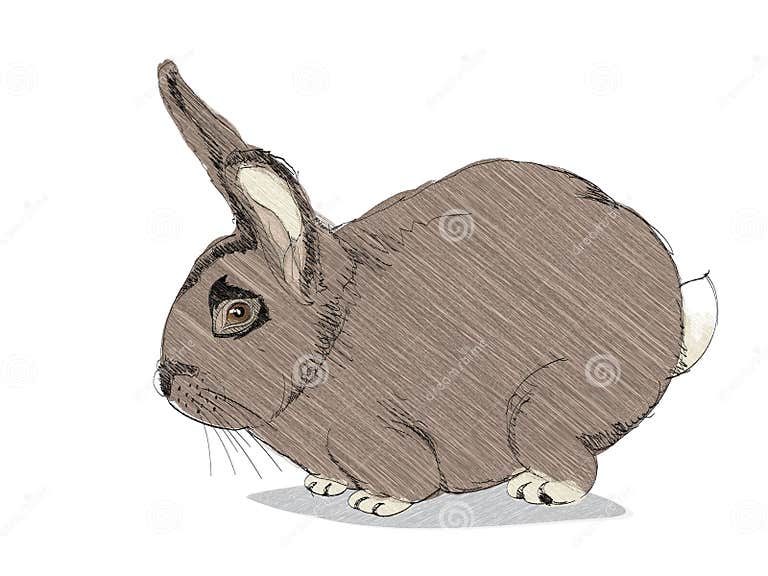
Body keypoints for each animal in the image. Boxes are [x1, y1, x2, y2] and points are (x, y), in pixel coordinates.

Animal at [155, 60, 717, 517]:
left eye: (237, 312)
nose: (164, 381)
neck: (328, 344)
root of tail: (672, 336)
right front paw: (327, 485)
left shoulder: (382, 432)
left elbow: (411, 480)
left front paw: (375, 501)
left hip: (547, 404)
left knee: (573, 458)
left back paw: (539, 487)